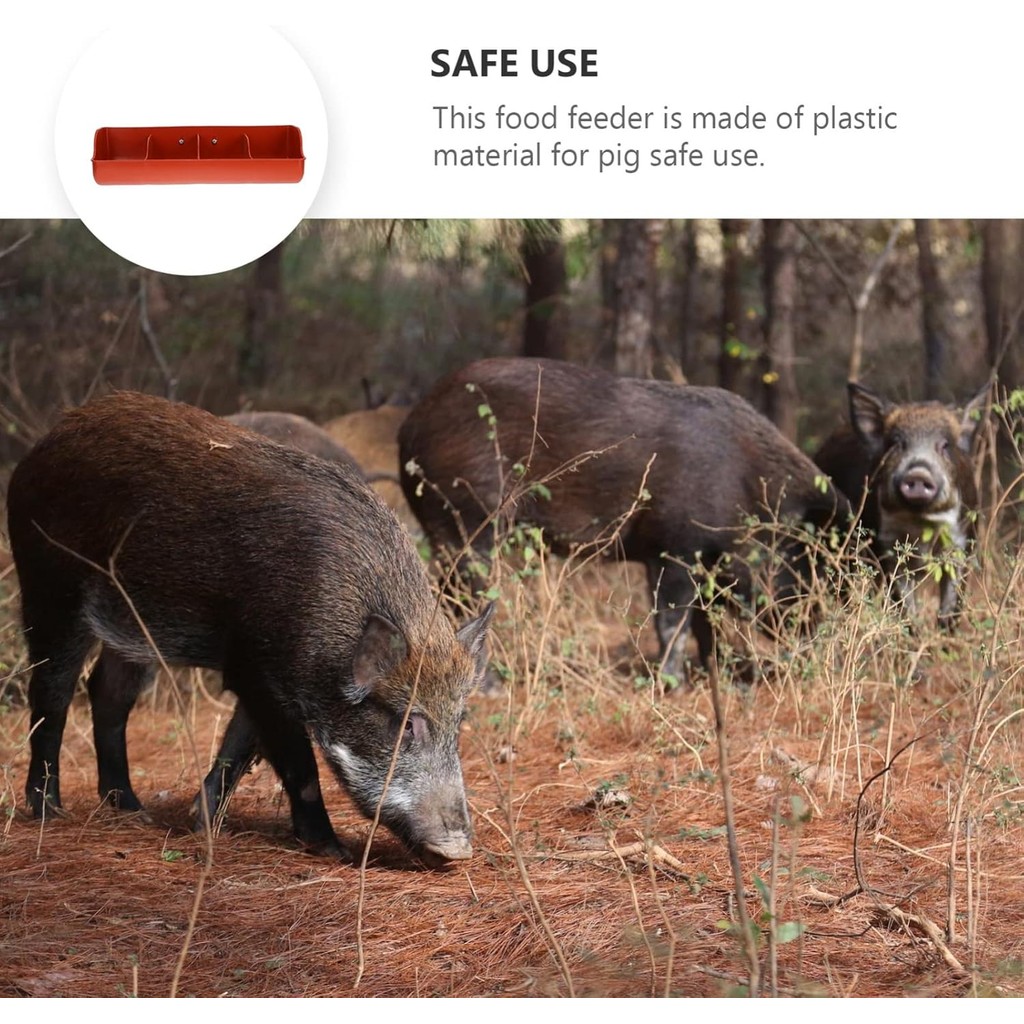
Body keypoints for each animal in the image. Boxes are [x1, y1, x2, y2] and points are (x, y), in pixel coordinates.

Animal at [7, 392, 493, 865]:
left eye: (459, 721)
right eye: (408, 723)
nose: (458, 850)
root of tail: (43, 445)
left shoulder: (257, 671)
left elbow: (238, 746)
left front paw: (202, 823)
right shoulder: (257, 673)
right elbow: (298, 764)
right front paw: (332, 849)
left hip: (132, 631)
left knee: (108, 694)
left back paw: (132, 811)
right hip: (49, 585)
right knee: (52, 692)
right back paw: (49, 810)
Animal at [398, 358, 848, 681]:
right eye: (801, 557)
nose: (818, 631)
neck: (745, 485)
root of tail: (409, 429)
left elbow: (705, 622)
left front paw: (715, 676)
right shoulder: (675, 546)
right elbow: (674, 621)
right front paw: (671, 684)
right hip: (468, 516)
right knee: (465, 594)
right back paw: (489, 685)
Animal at [814, 381, 988, 628]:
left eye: (945, 445)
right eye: (897, 443)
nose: (918, 472)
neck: (920, 522)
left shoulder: (962, 541)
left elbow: (951, 605)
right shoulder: (886, 547)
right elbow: (904, 605)